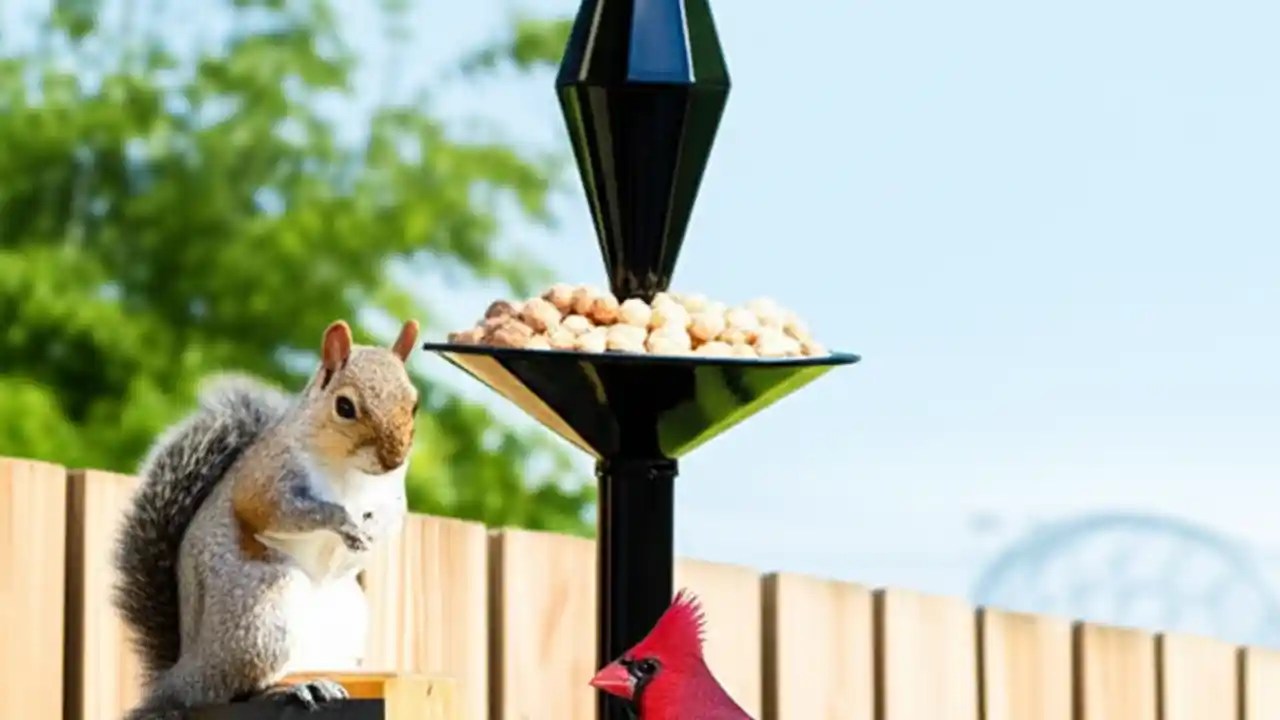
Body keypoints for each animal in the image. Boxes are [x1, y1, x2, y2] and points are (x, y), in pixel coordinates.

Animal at [112, 319, 422, 719]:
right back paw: (296, 688)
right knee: (239, 690)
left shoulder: (392, 495)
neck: (353, 474)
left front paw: (370, 531)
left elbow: (393, 520)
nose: (394, 459)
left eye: (414, 405)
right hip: (262, 618)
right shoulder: (267, 479)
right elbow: (279, 510)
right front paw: (345, 523)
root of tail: (181, 678)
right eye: (344, 406)